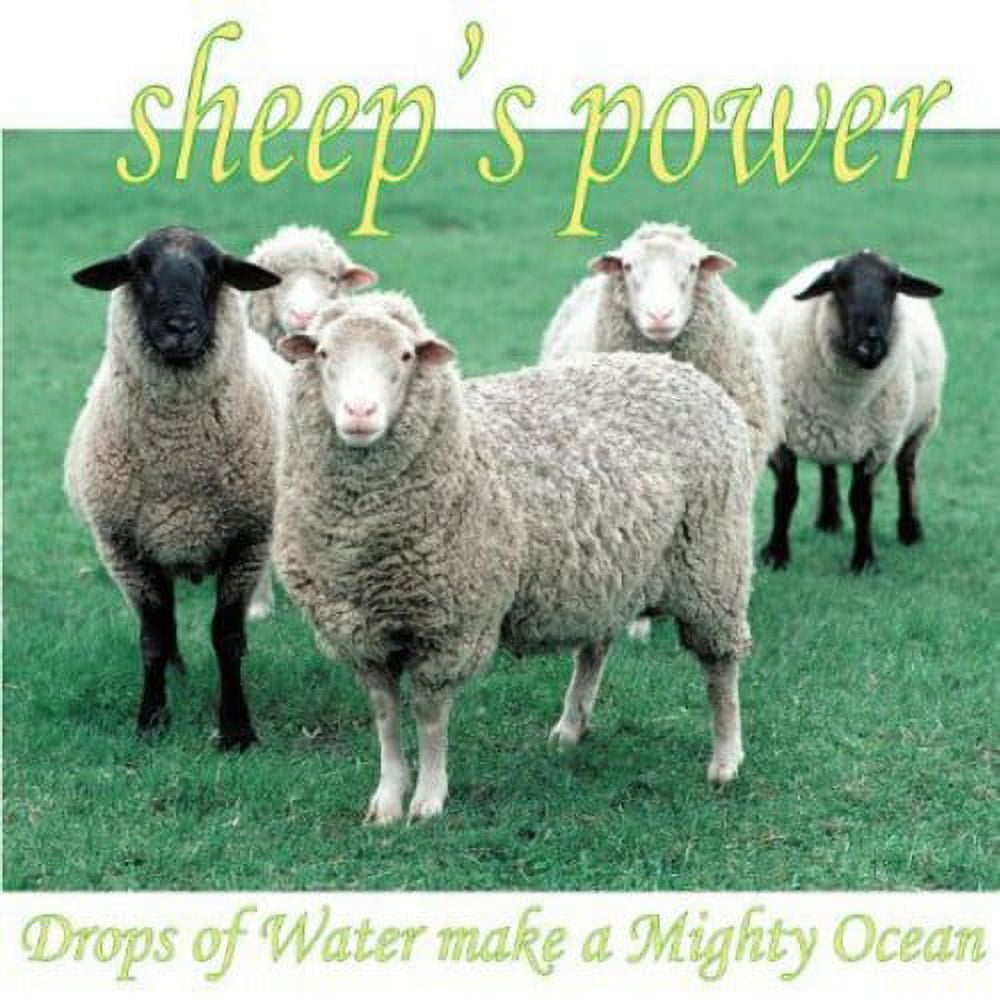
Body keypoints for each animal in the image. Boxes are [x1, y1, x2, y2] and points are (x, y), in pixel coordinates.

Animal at [64, 226, 284, 748]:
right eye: (139, 267)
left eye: (215, 268)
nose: (181, 325)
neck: (178, 458)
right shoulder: (125, 549)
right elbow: (153, 637)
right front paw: (151, 721)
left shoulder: (247, 542)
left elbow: (227, 638)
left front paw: (237, 730)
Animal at [273, 291, 755, 824]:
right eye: (323, 354)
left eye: (405, 355)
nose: (360, 412)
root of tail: (676, 368)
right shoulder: (361, 634)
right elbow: (386, 716)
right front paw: (387, 799)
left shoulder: (451, 625)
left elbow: (429, 716)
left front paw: (428, 799)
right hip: (609, 571)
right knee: (596, 646)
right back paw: (571, 727)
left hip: (713, 563)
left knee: (720, 667)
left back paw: (726, 759)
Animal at [756, 250, 945, 573]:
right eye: (839, 284)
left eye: (894, 285)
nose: (870, 344)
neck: (845, 399)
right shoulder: (781, 439)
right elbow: (786, 494)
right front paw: (776, 554)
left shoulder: (877, 445)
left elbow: (862, 501)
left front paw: (864, 560)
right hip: (826, 430)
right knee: (828, 467)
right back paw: (828, 520)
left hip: (921, 423)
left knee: (906, 469)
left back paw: (910, 530)